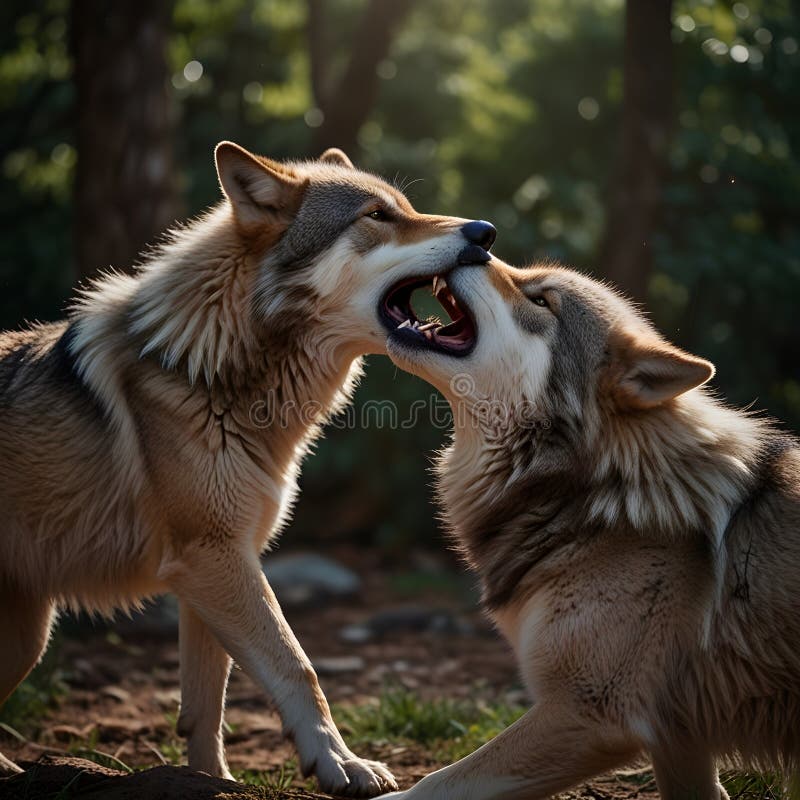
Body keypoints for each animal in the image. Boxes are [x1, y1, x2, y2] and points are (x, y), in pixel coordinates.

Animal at [0, 141, 498, 795]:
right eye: (377, 216)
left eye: (409, 209)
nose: (485, 232)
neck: (207, 371)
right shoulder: (213, 556)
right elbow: (298, 667)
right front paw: (341, 764)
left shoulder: (211, 569)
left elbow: (206, 705)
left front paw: (211, 780)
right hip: (31, 637)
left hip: (27, 635)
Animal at [379, 259, 800, 799]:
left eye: (541, 300)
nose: (479, 244)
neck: (594, 490)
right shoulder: (678, 741)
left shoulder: (591, 715)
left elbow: (437, 783)